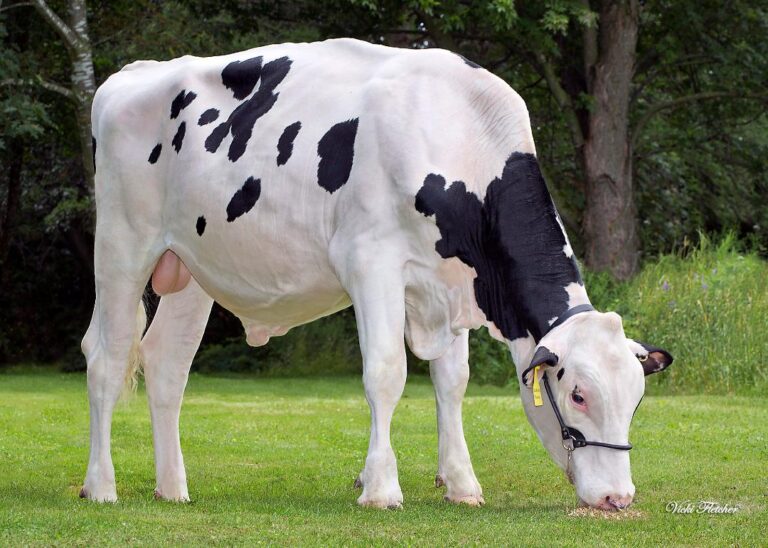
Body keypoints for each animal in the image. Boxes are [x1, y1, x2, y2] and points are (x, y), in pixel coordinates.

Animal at [81, 38, 673, 511]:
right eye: (579, 396)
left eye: (637, 399)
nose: (618, 497)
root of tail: (129, 74)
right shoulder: (371, 263)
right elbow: (386, 374)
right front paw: (381, 488)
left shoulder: (450, 285)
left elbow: (452, 382)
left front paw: (462, 484)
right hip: (121, 244)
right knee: (107, 356)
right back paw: (101, 486)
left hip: (191, 269)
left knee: (166, 363)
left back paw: (172, 488)